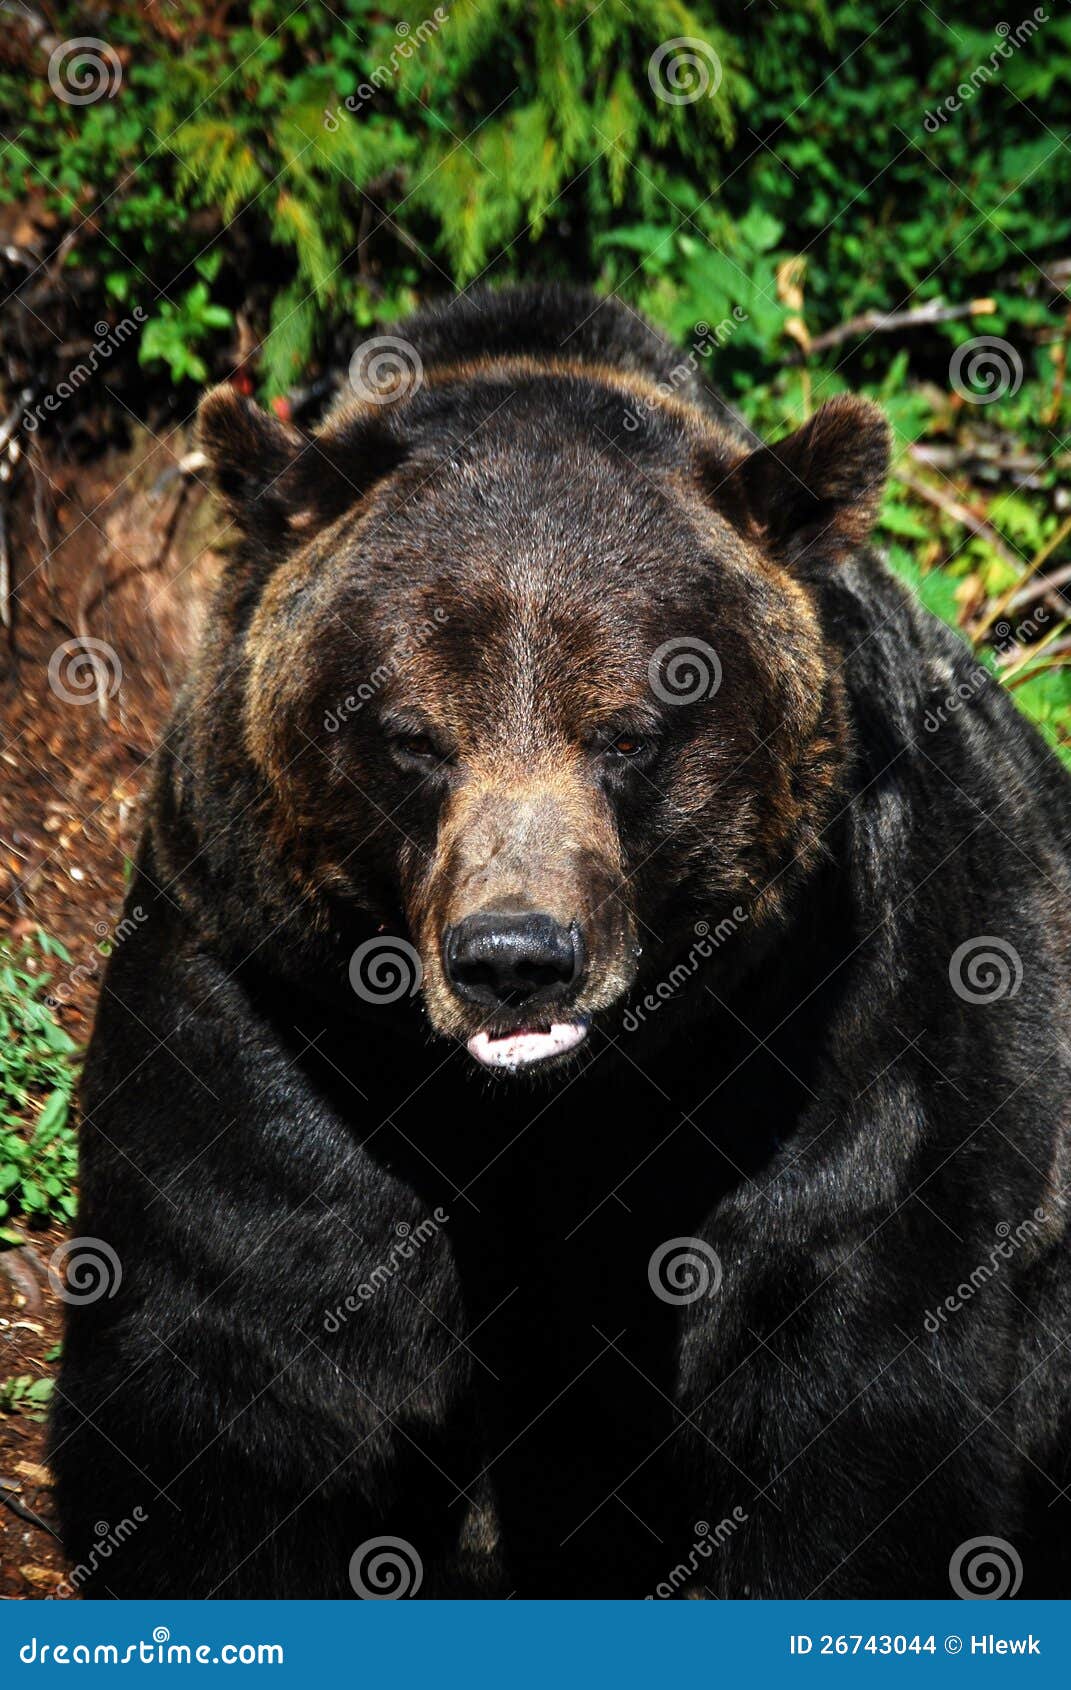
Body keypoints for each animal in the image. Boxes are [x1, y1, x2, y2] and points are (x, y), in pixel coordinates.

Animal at [51, 284, 1071, 1599]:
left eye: (632, 731)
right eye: (411, 734)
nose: (515, 956)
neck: (536, 1113)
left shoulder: (843, 1031)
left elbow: (851, 1399)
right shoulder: (263, 1001)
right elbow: (235, 1349)